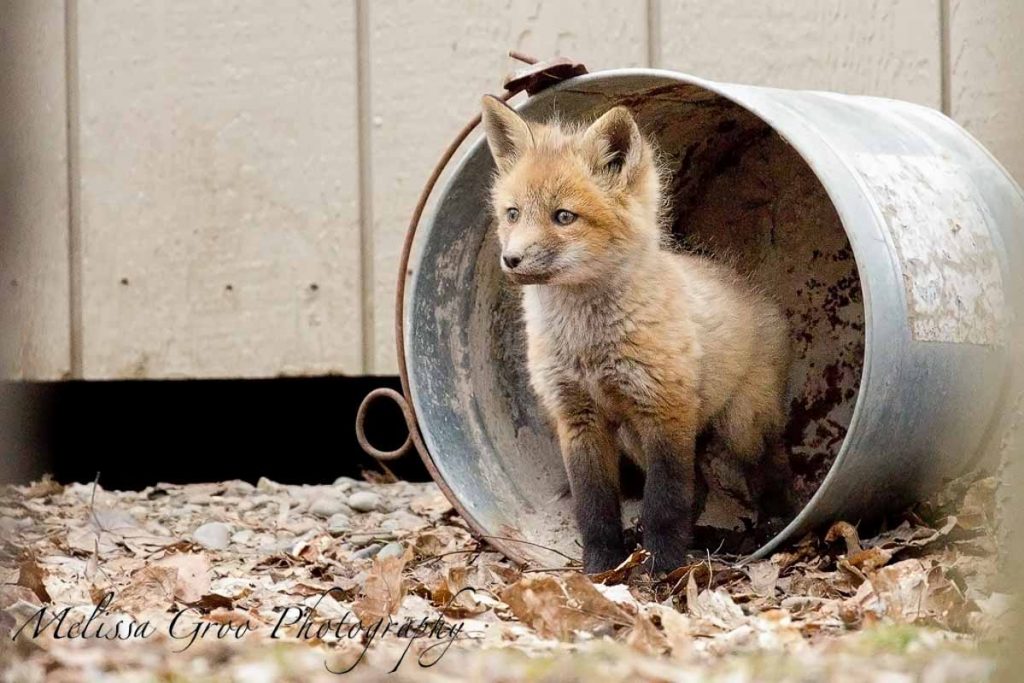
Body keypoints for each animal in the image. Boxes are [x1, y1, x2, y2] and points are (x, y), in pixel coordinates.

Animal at [480, 95, 793, 574]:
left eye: (564, 217)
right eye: (513, 213)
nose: (510, 259)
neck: (587, 344)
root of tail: (753, 288)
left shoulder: (666, 410)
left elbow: (665, 502)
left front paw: (664, 567)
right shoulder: (579, 418)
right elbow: (594, 505)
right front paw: (601, 566)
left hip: (742, 426)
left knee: (771, 466)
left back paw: (776, 524)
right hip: (635, 436)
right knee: (700, 488)